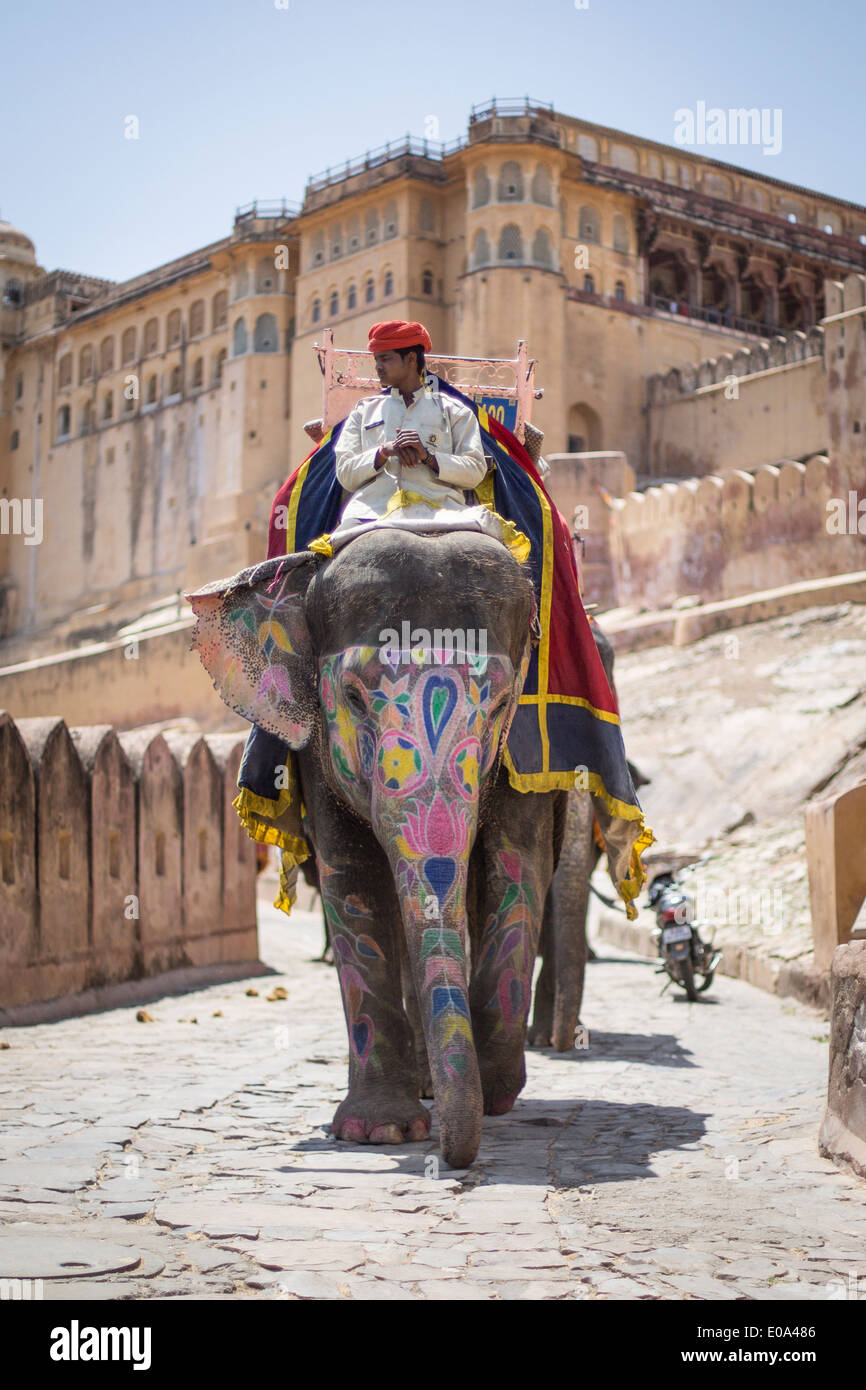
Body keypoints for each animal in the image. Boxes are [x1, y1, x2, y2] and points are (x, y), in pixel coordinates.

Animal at [190, 528, 568, 1169]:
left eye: (498, 706)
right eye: (353, 698)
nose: (453, 1159)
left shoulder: (525, 747)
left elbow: (516, 866)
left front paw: (493, 1096)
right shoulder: (317, 743)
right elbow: (352, 876)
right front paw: (379, 1133)